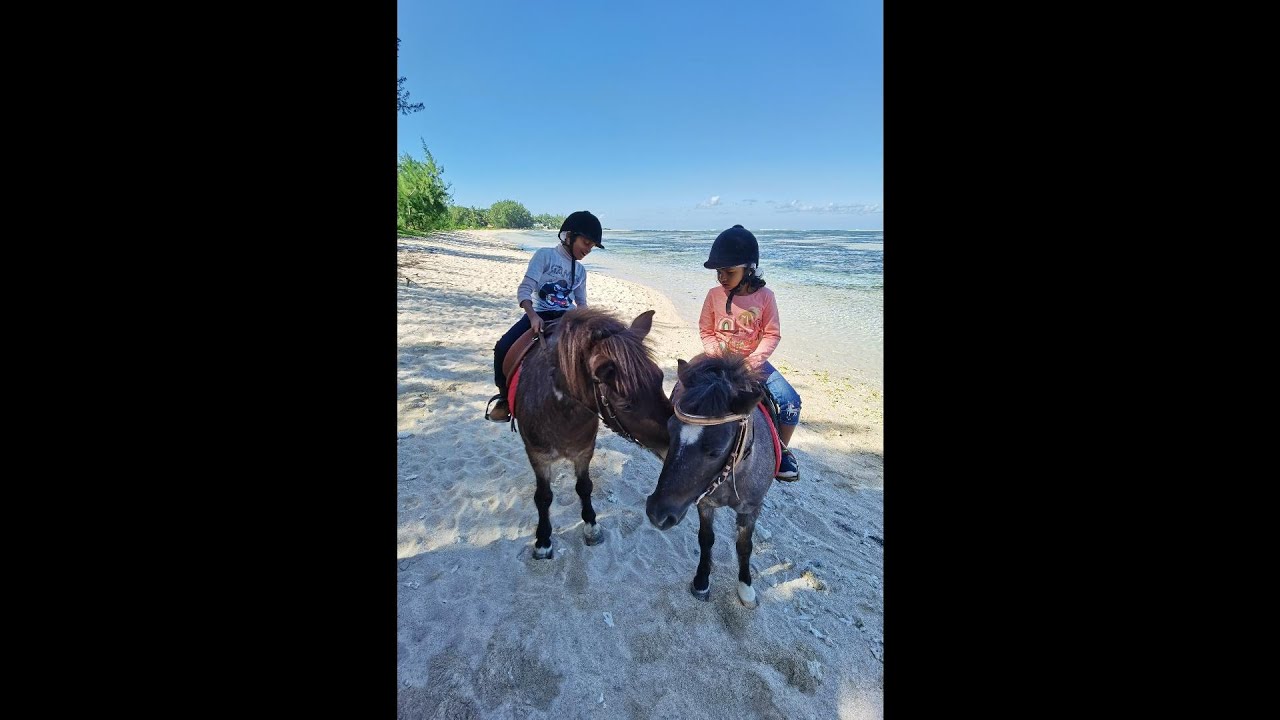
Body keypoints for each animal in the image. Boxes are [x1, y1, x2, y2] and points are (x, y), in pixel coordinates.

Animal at [507, 306, 674, 559]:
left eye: (661, 379)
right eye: (625, 405)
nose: (675, 444)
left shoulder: (584, 451)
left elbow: (584, 487)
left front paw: (591, 526)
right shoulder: (538, 457)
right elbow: (543, 498)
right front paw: (543, 541)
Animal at [644, 353, 781, 608]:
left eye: (716, 450)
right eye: (670, 429)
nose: (657, 514)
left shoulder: (751, 509)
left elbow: (744, 546)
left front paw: (746, 587)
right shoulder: (705, 504)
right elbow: (706, 539)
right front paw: (701, 581)